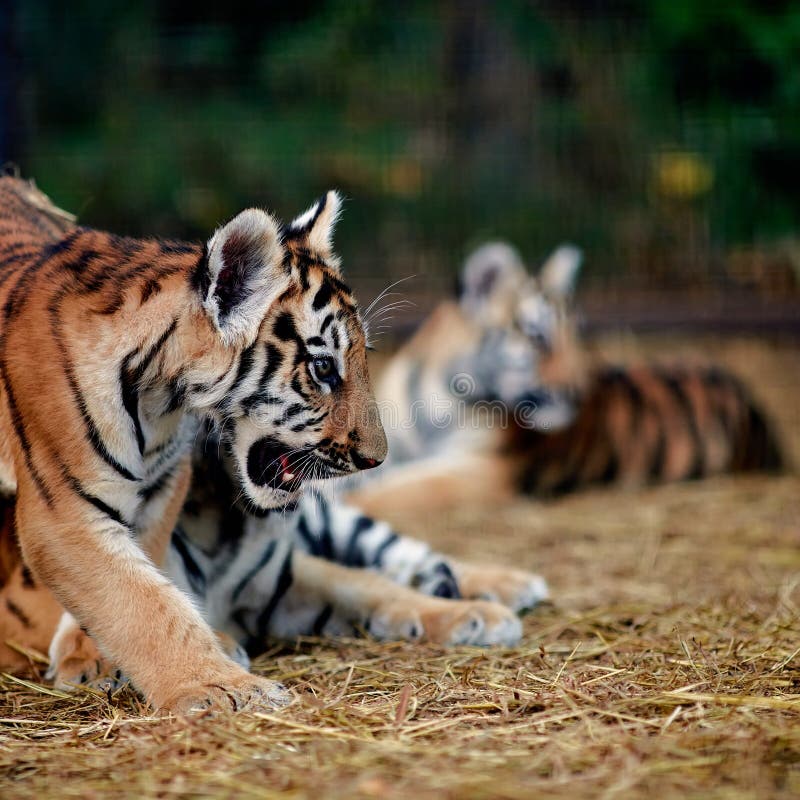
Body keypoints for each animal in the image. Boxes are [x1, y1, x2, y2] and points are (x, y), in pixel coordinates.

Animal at [0, 176, 546, 698]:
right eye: (323, 367)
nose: (377, 459)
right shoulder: (63, 515)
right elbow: (143, 603)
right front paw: (223, 687)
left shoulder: (185, 509)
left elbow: (366, 586)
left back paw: (505, 587)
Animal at [346, 241, 783, 515]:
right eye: (538, 338)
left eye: (577, 334)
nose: (581, 390)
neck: (440, 399)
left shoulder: (486, 473)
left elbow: (397, 490)